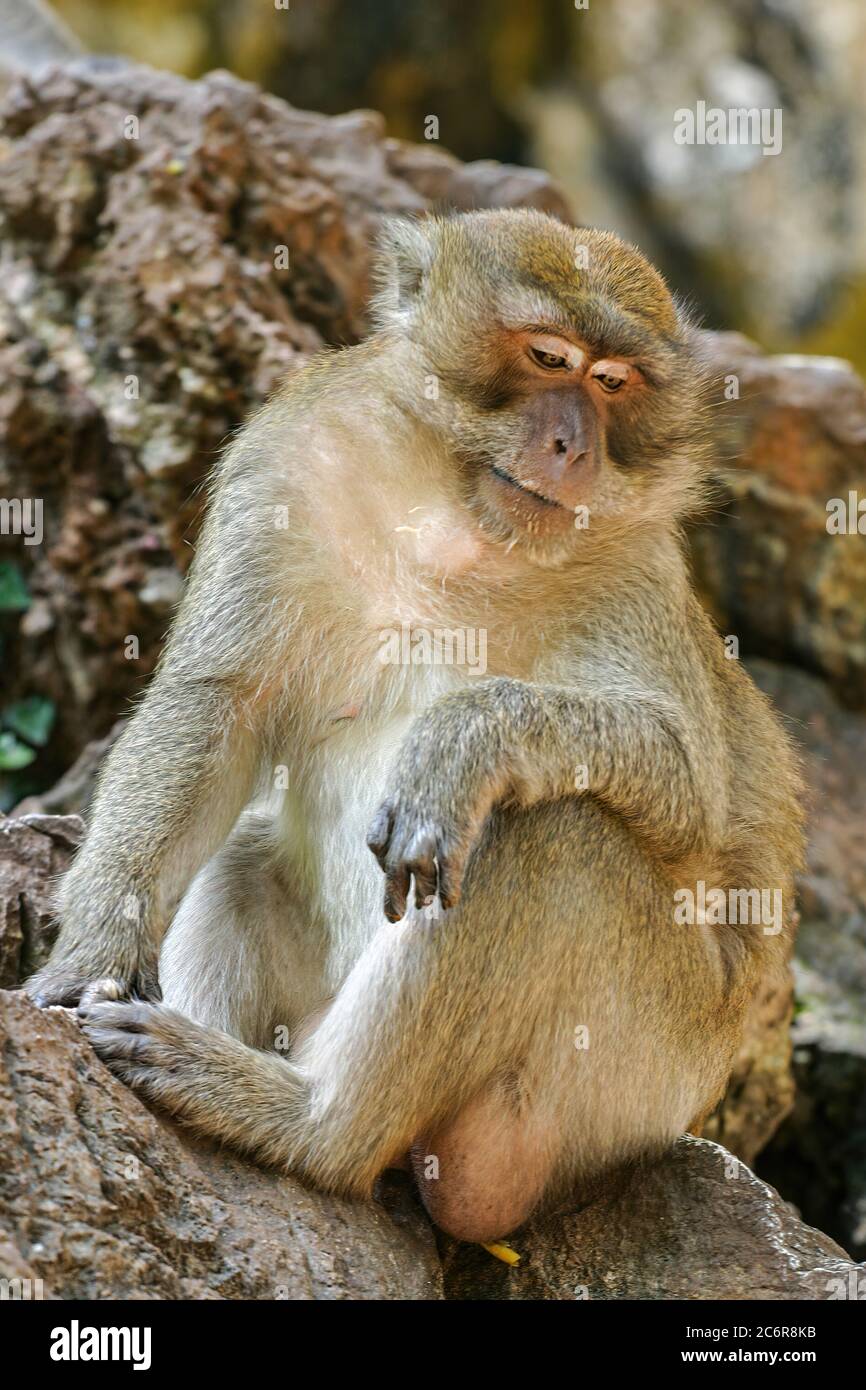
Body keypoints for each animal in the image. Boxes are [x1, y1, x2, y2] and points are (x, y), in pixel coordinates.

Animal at [26, 209, 804, 1244]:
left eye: (613, 384)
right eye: (548, 356)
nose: (573, 444)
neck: (460, 522)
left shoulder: (636, 560)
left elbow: (688, 789)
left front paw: (462, 739)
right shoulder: (290, 455)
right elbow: (219, 706)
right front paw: (91, 957)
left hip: (627, 1080)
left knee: (541, 833)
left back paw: (310, 1124)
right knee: (250, 853)